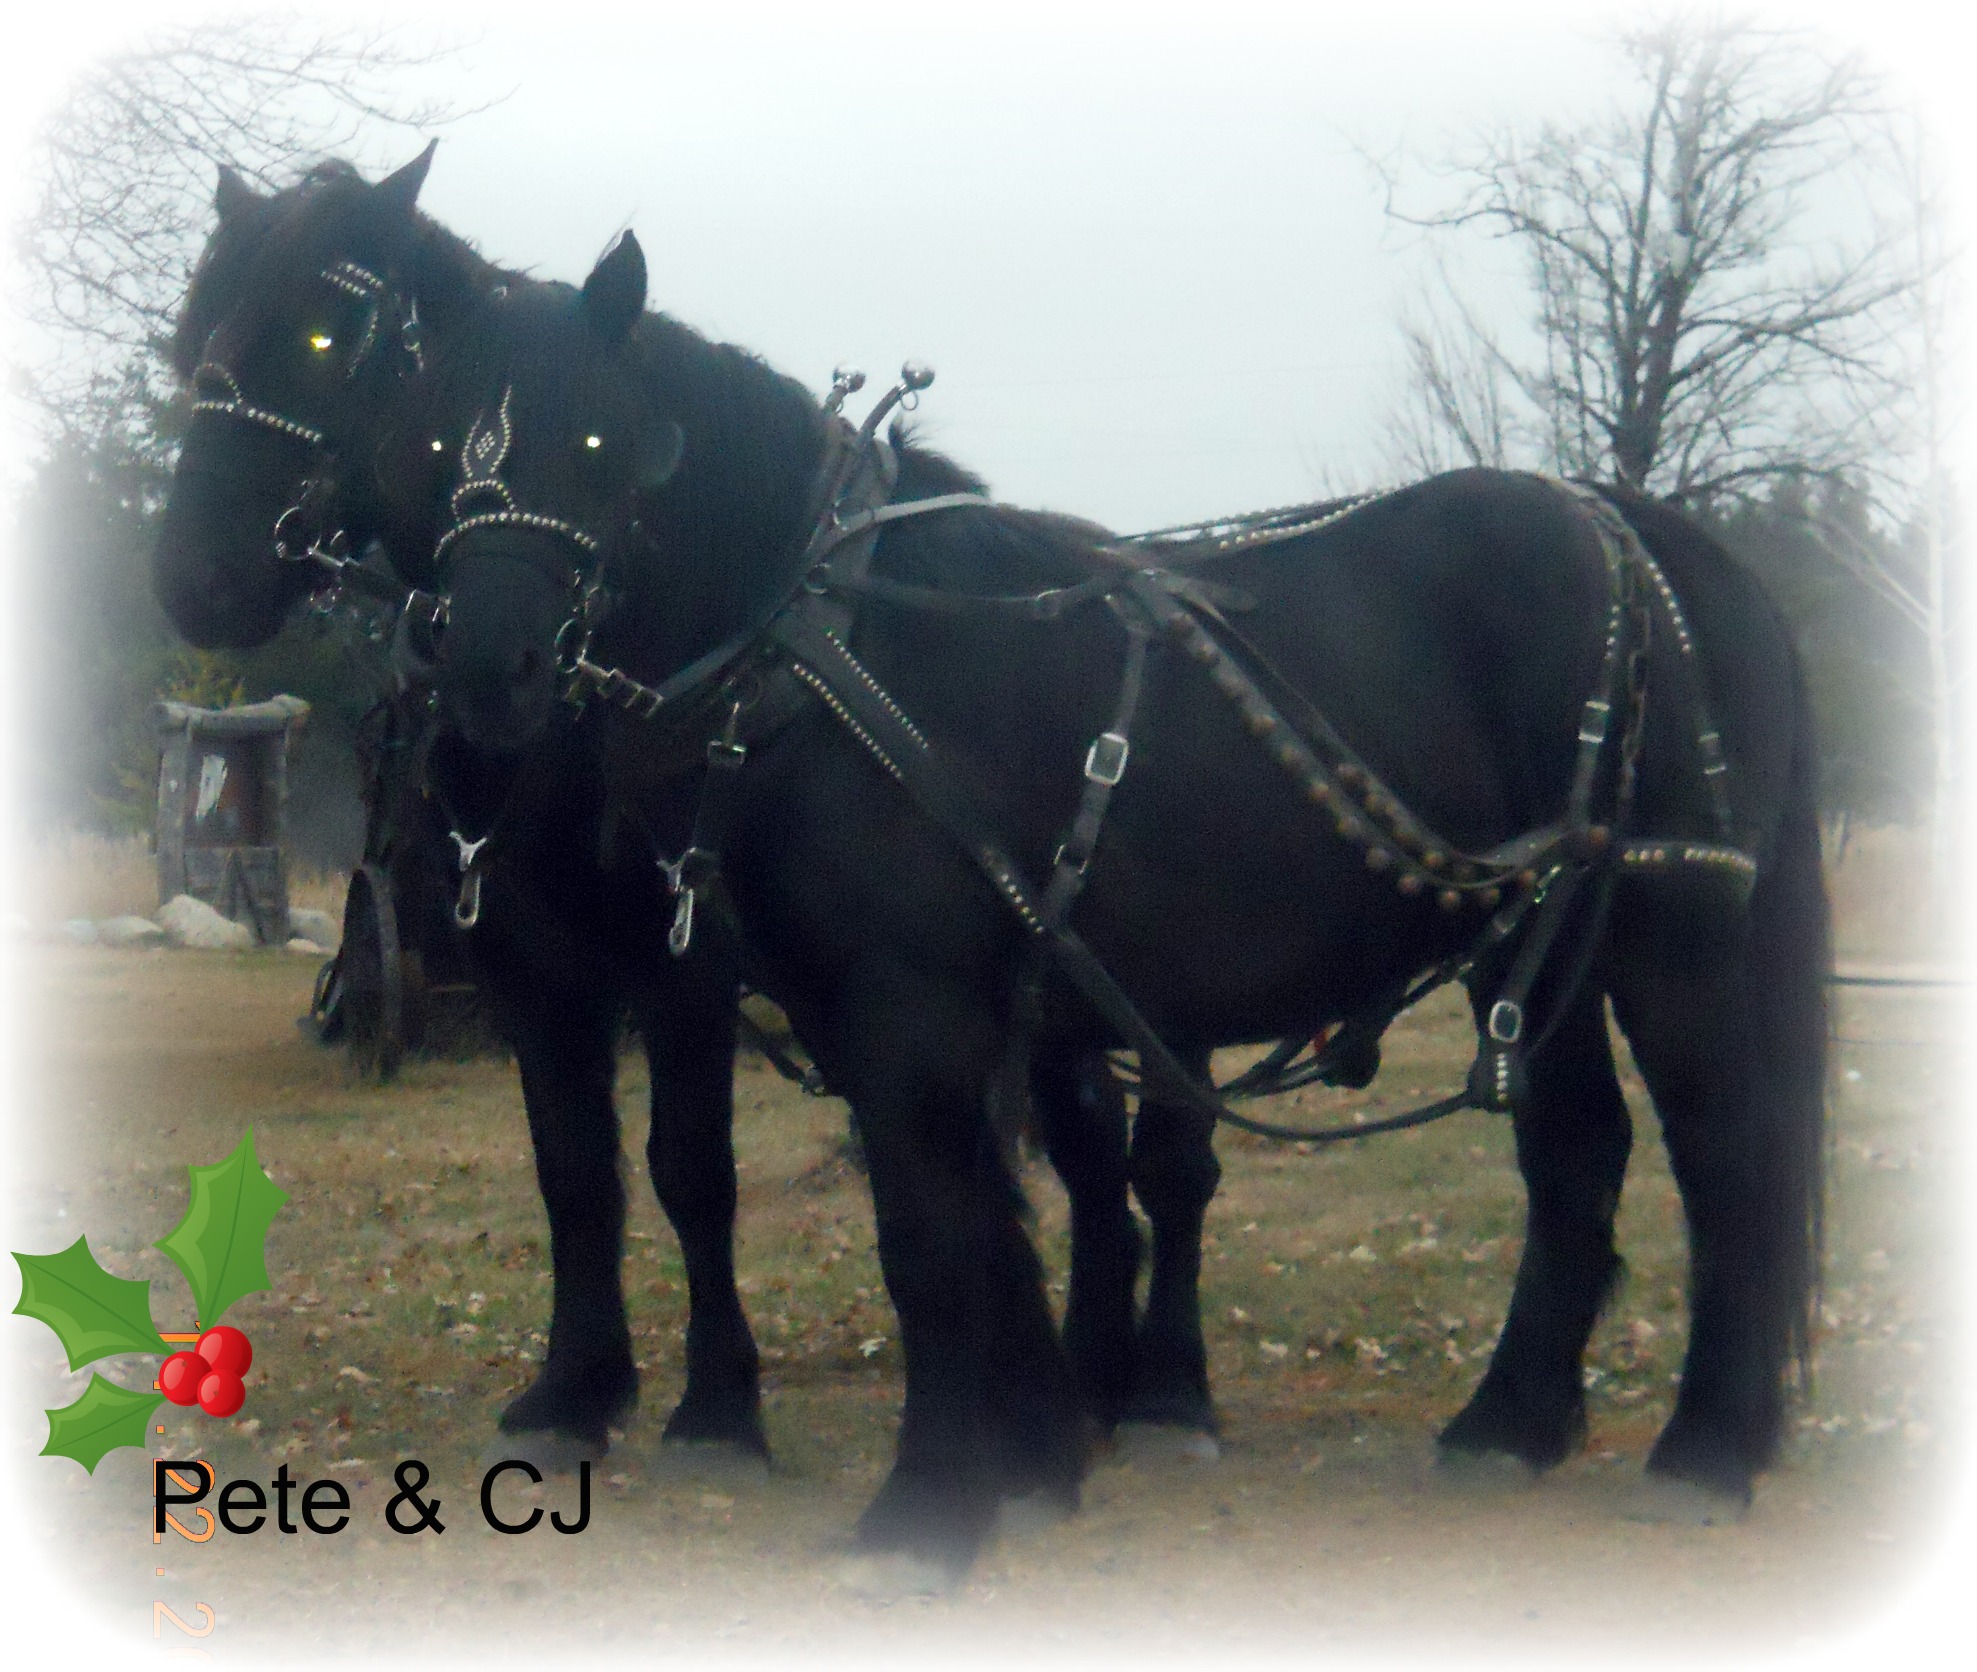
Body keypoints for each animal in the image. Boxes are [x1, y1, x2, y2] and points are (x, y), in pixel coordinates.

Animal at [414, 246, 1830, 1585]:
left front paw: (926, 1512)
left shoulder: (908, 1006)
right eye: (442, 445)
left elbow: (929, 1242)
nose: (488, 666)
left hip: (1670, 928)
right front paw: (1031, 1461)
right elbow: (994, 1231)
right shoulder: (912, 1013)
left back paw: (1706, 1445)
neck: (834, 641)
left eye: (599, 439)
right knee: (1580, 1150)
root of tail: (1636, 524)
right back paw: (1512, 1423)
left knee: (1727, 1150)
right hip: (1533, 950)